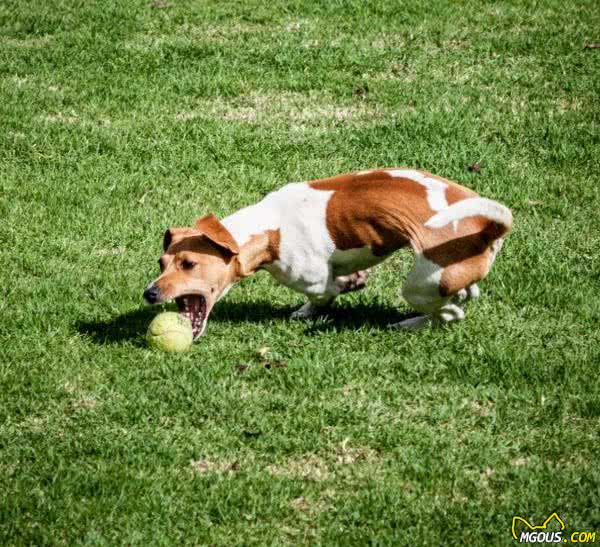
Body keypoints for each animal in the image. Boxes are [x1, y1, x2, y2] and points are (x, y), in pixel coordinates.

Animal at [144, 168, 510, 338]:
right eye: (162, 263)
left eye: (188, 263)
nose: (149, 293)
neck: (269, 228)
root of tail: (488, 224)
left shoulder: (315, 279)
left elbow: (324, 291)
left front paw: (341, 289)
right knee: (464, 296)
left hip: (419, 285)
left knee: (450, 314)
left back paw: (409, 323)